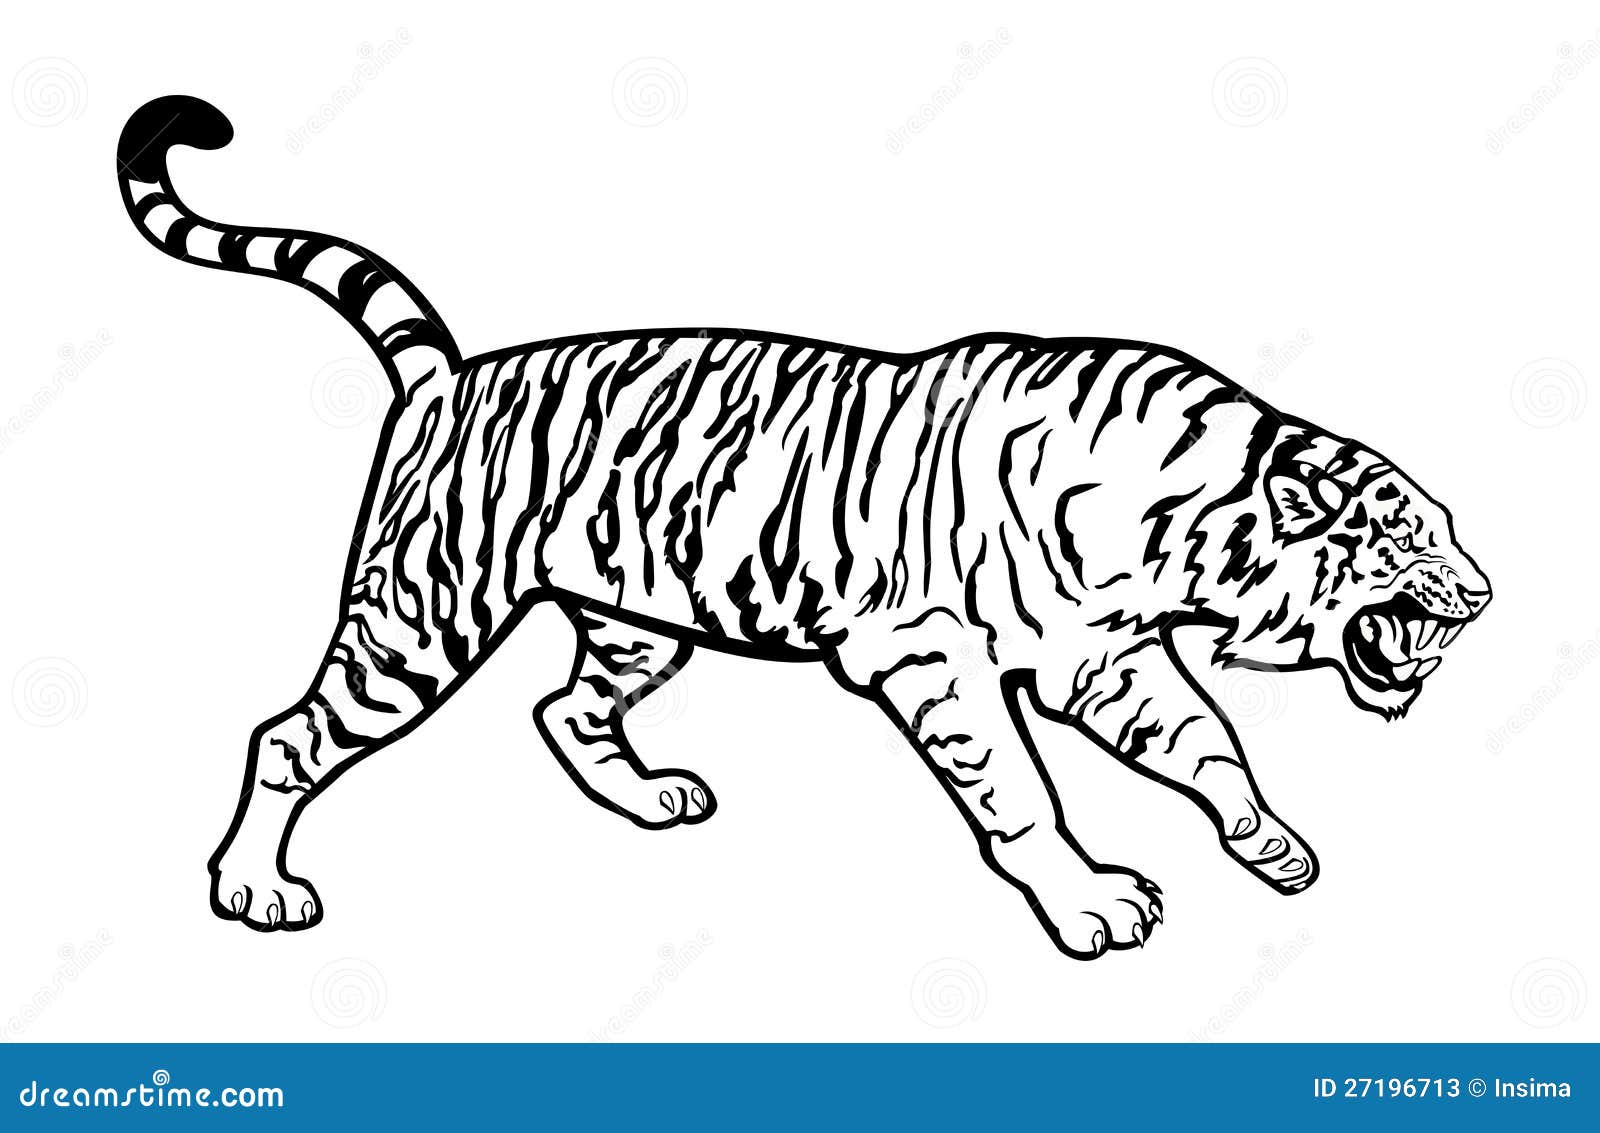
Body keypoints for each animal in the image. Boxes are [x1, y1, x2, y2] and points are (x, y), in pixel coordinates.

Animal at [119, 96, 1492, 958]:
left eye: (1447, 528)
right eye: (1412, 539)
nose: (1482, 594)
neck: (1185, 529)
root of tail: (448, 371)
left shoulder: (1099, 657)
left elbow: (1208, 741)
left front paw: (1271, 847)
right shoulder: (936, 655)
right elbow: (1022, 791)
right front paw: (1091, 902)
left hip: (639, 613)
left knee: (565, 706)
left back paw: (650, 797)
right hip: (421, 618)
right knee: (289, 734)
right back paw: (253, 886)